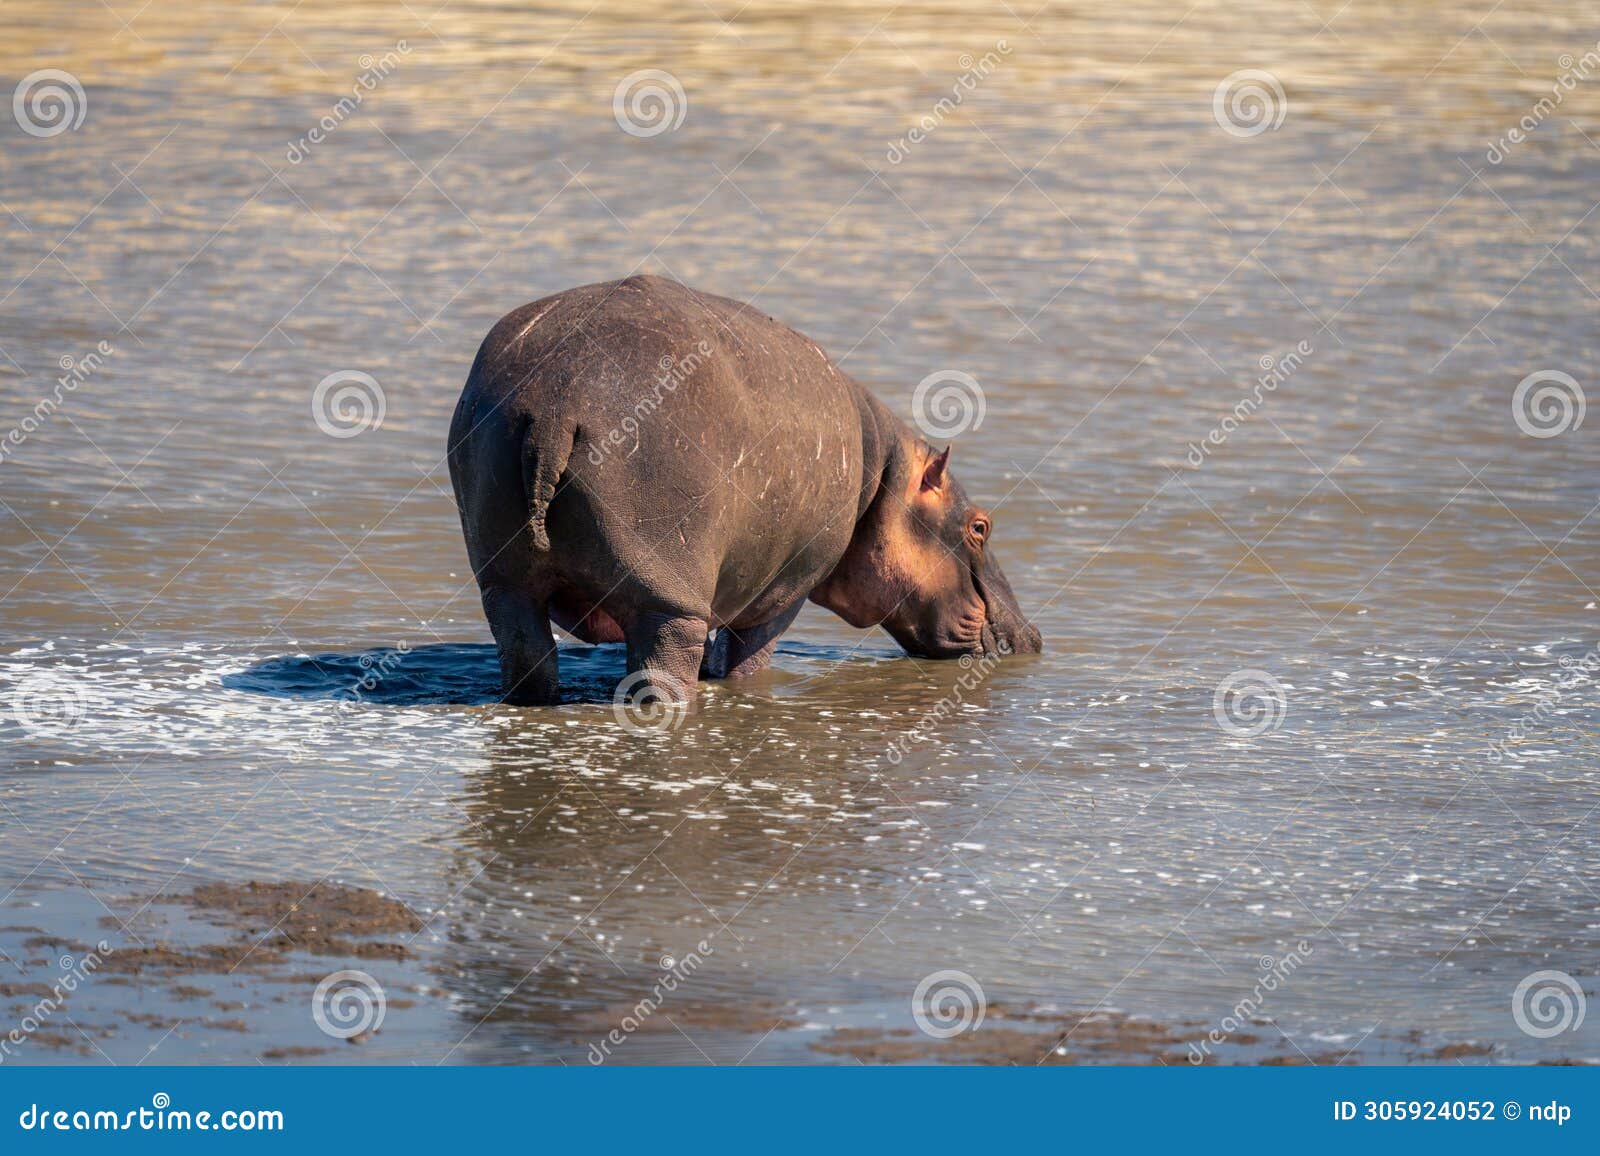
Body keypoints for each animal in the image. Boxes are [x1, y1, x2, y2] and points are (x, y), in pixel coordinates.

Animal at [447, 275, 1041, 706]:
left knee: (525, 652)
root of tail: (556, 401)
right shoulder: (783, 591)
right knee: (662, 668)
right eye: (980, 526)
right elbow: (747, 661)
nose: (1033, 636)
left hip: (505, 579)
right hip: (667, 596)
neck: (883, 476)